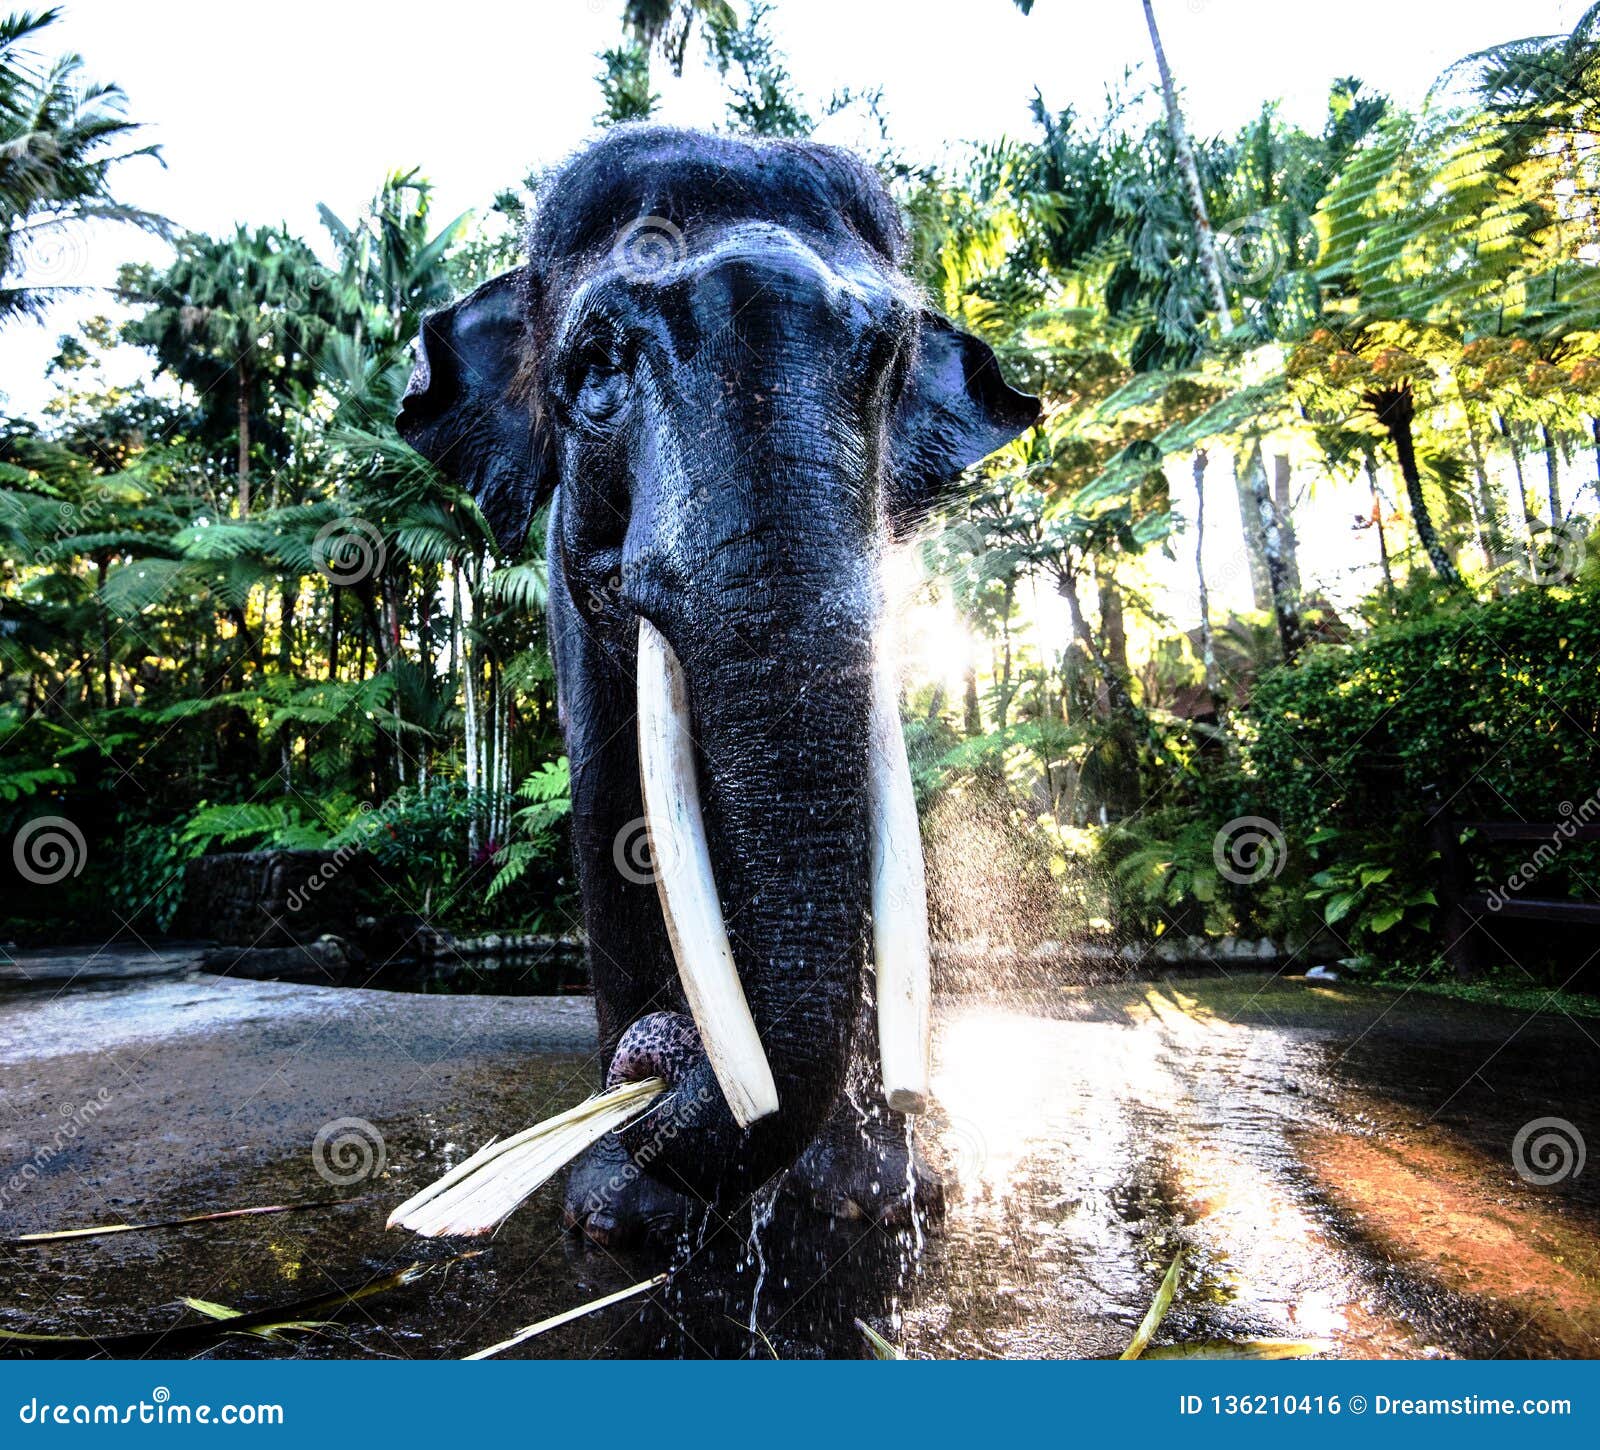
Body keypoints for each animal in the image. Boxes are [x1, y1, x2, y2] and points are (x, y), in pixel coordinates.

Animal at [398, 126, 1036, 1245]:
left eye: (886, 364)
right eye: (598, 365)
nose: (651, 1064)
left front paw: (872, 1197)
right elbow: (609, 813)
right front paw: (619, 1211)